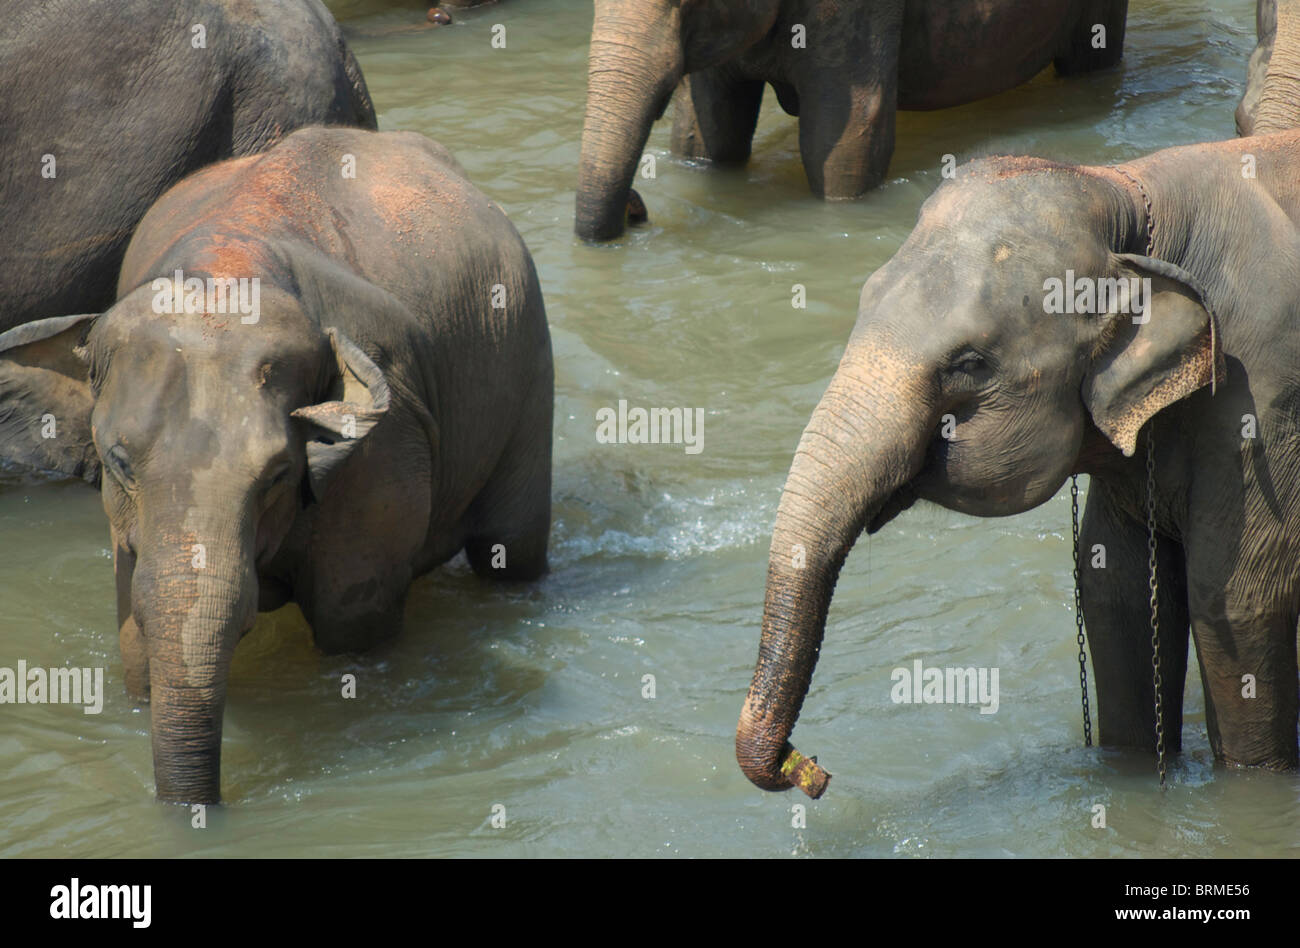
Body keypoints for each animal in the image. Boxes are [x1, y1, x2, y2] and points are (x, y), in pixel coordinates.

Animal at [0, 126, 554, 804]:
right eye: (120, 463)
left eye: (279, 475)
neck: (229, 265)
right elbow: (134, 629)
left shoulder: (386, 449)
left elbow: (352, 618)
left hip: (530, 361)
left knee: (510, 549)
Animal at [736, 132, 1300, 798]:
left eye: (970, 362)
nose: (810, 769)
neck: (1126, 196)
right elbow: (1113, 591)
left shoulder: (1263, 407)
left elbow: (1235, 598)